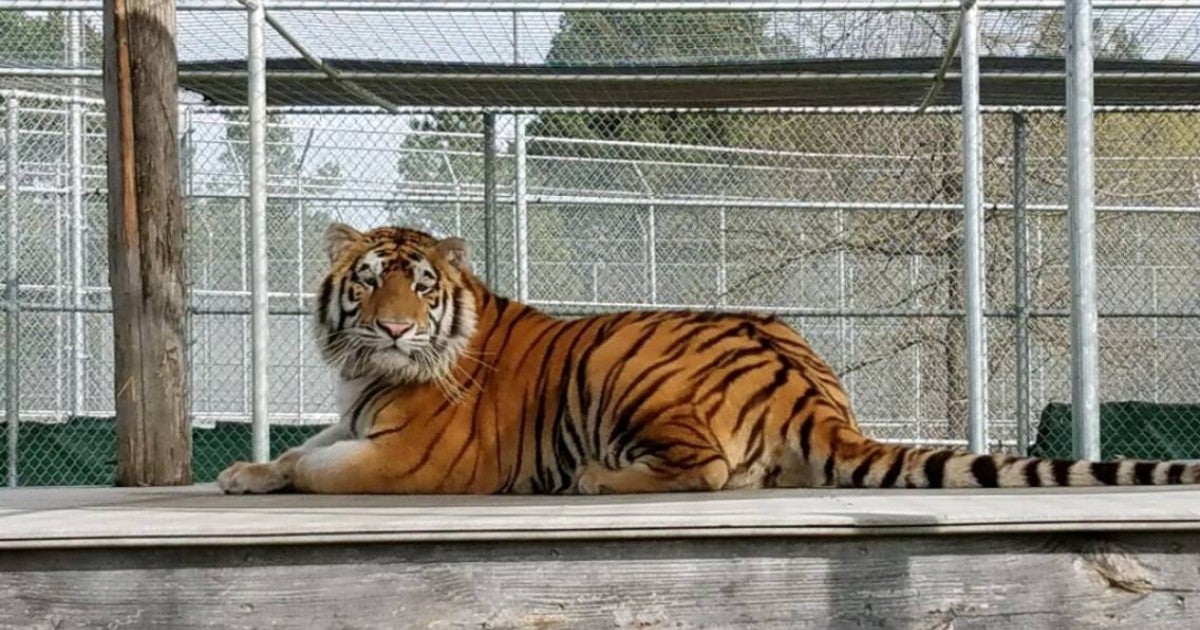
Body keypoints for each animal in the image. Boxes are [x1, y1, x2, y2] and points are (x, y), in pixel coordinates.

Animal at [217, 223, 1200, 495]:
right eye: (368, 282)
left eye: (421, 289)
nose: (390, 330)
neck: (366, 377)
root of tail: (816, 390)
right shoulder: (347, 420)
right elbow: (302, 446)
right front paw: (243, 472)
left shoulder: (413, 463)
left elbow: (318, 468)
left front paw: (268, 476)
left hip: (629, 370)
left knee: (713, 469)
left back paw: (596, 481)